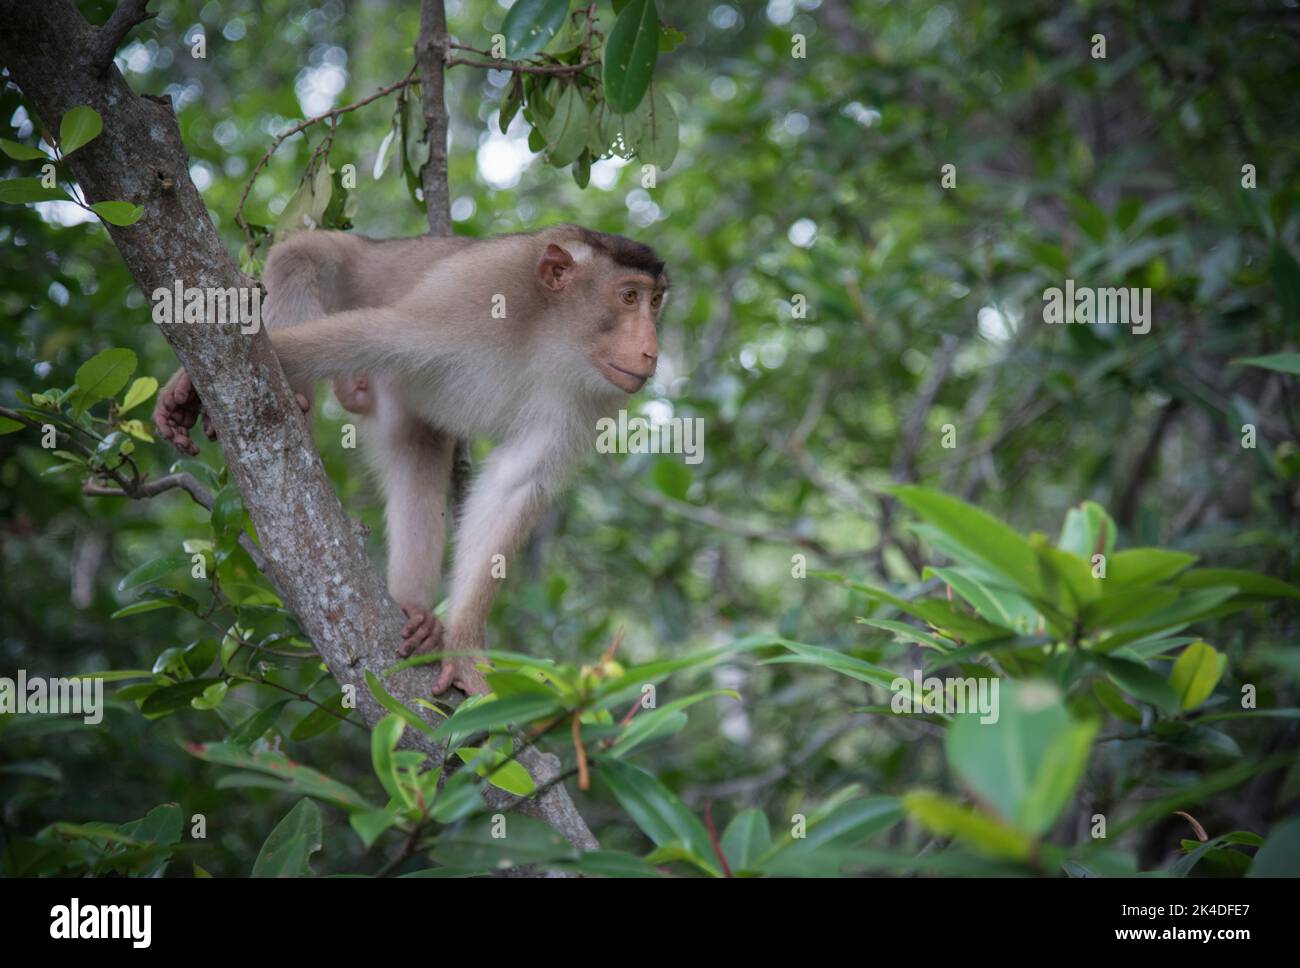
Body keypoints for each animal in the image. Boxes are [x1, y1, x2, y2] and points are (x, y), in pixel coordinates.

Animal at [154, 225, 667, 695]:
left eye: (656, 302)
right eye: (628, 297)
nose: (651, 351)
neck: (551, 332)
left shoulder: (590, 398)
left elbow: (514, 483)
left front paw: (464, 649)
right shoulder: (475, 297)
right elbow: (376, 334)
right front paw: (184, 387)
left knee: (420, 454)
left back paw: (418, 615)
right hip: (364, 270)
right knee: (307, 256)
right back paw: (308, 398)